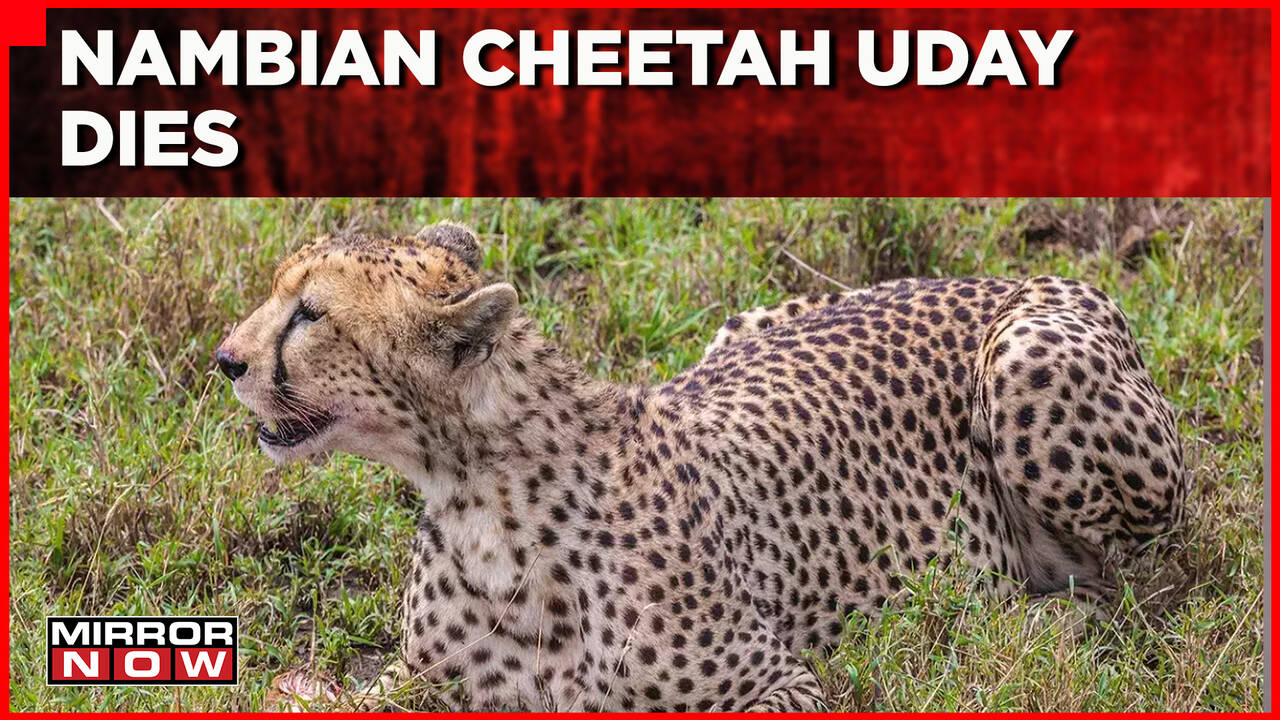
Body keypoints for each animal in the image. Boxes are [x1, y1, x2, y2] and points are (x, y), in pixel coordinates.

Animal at [216, 223, 1188, 711]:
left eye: (310, 314)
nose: (225, 359)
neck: (478, 498)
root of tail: (1002, 274)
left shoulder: (783, 684)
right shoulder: (415, 682)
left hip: (1029, 364)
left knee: (1143, 584)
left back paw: (1037, 620)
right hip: (743, 321)